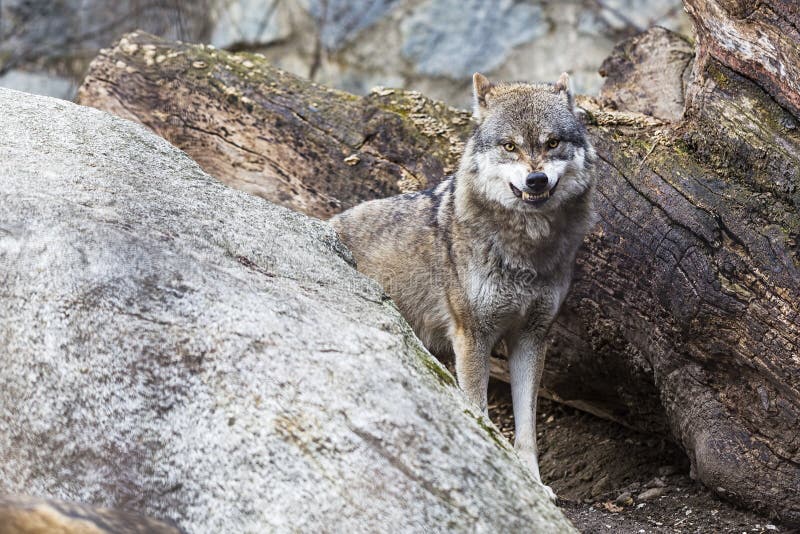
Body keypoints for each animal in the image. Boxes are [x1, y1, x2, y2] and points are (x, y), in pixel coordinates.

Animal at [331, 72, 596, 499]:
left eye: (552, 143)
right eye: (510, 146)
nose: (536, 179)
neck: (525, 250)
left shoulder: (531, 336)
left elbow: (527, 429)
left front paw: (533, 483)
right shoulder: (472, 335)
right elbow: (481, 413)